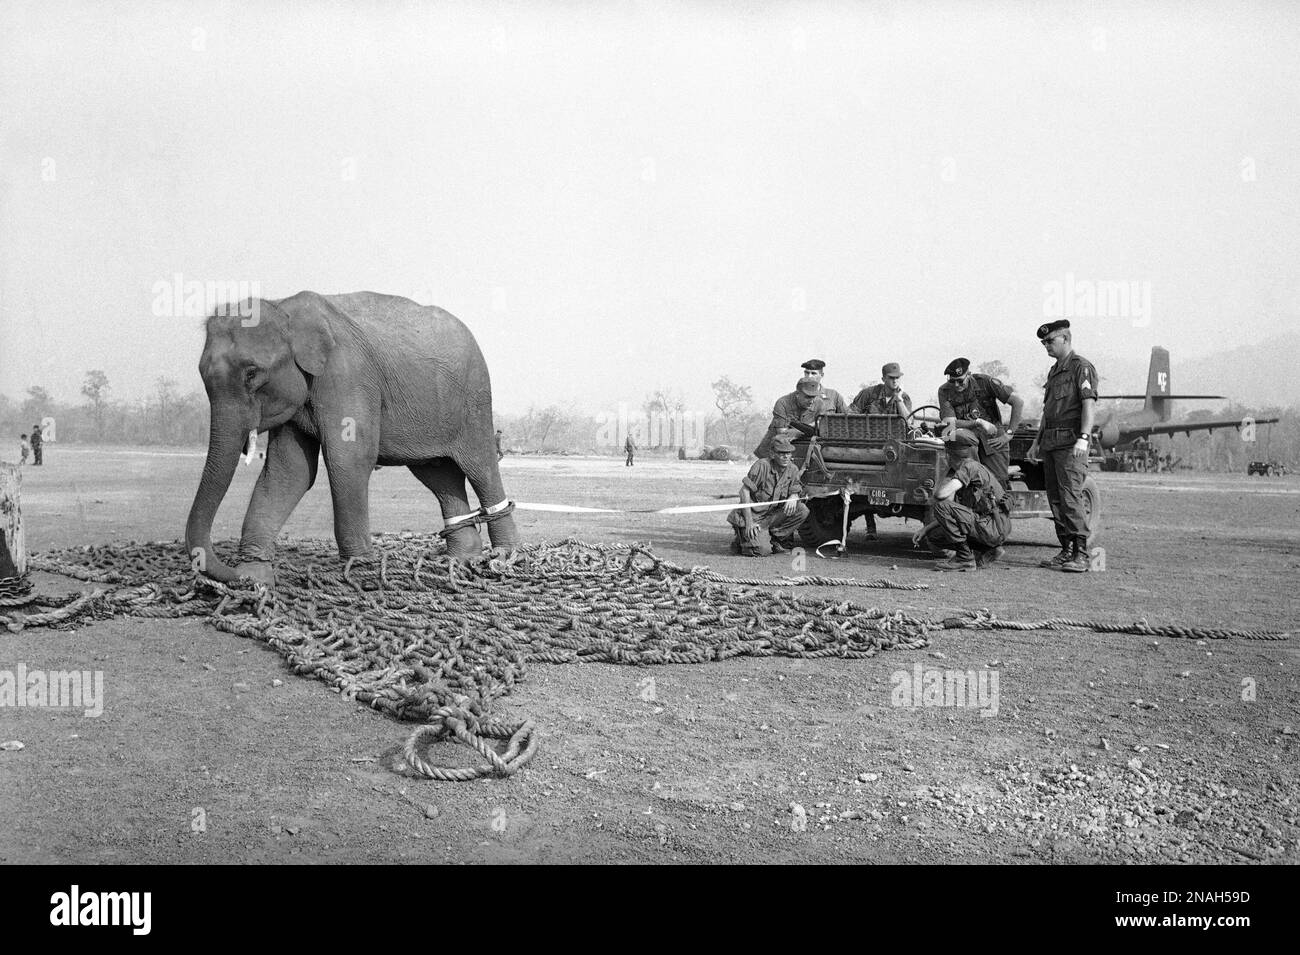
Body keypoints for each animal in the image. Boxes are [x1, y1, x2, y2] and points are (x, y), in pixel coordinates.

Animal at [184, 290, 520, 584]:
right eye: (201, 374)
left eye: (251, 373)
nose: (232, 574)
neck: (284, 306)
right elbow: (289, 472)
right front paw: (255, 579)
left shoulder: (348, 376)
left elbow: (349, 459)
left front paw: (358, 569)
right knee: (438, 474)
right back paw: (461, 559)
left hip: (474, 399)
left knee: (480, 466)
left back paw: (502, 558)